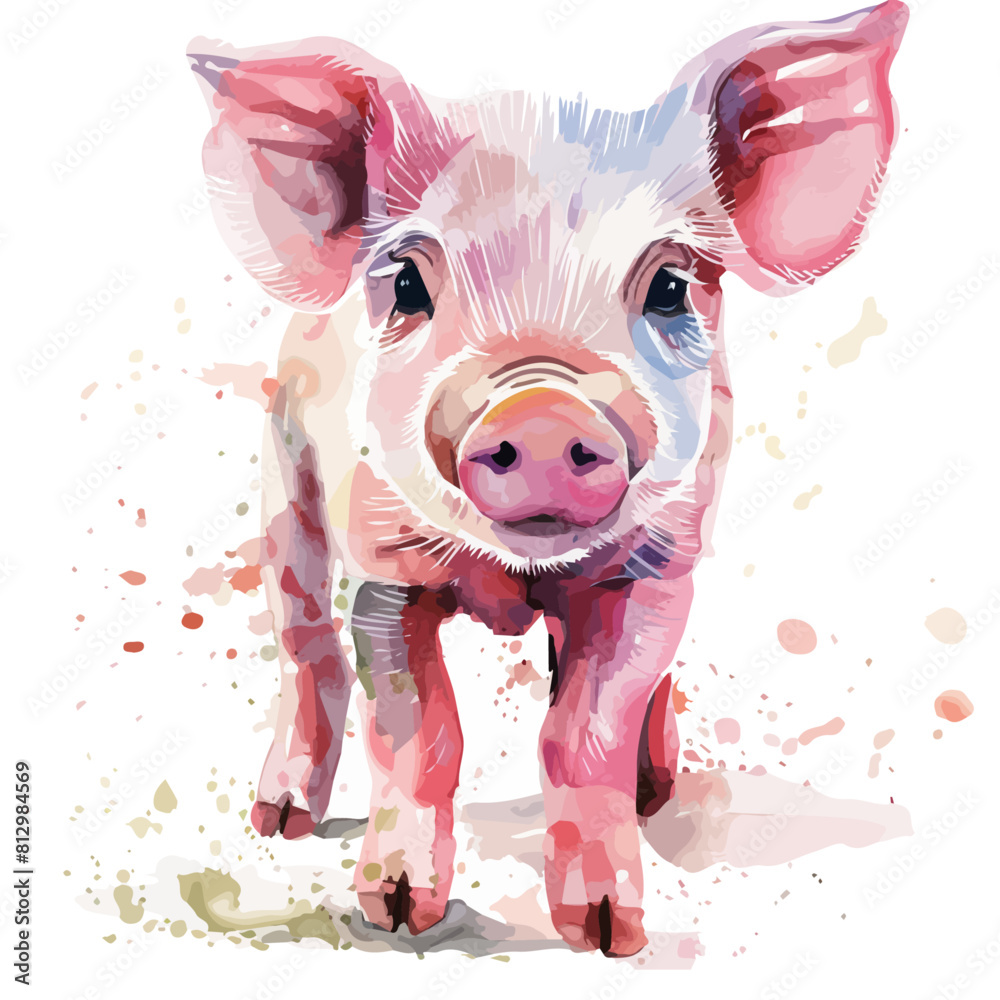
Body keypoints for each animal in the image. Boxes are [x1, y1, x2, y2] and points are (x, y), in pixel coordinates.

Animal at [189, 0, 908, 956]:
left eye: (671, 286)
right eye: (408, 282)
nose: (539, 410)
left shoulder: (655, 568)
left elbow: (584, 728)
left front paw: (607, 934)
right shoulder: (385, 576)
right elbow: (421, 732)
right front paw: (398, 913)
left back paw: (656, 790)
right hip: (284, 480)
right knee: (305, 644)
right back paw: (279, 819)